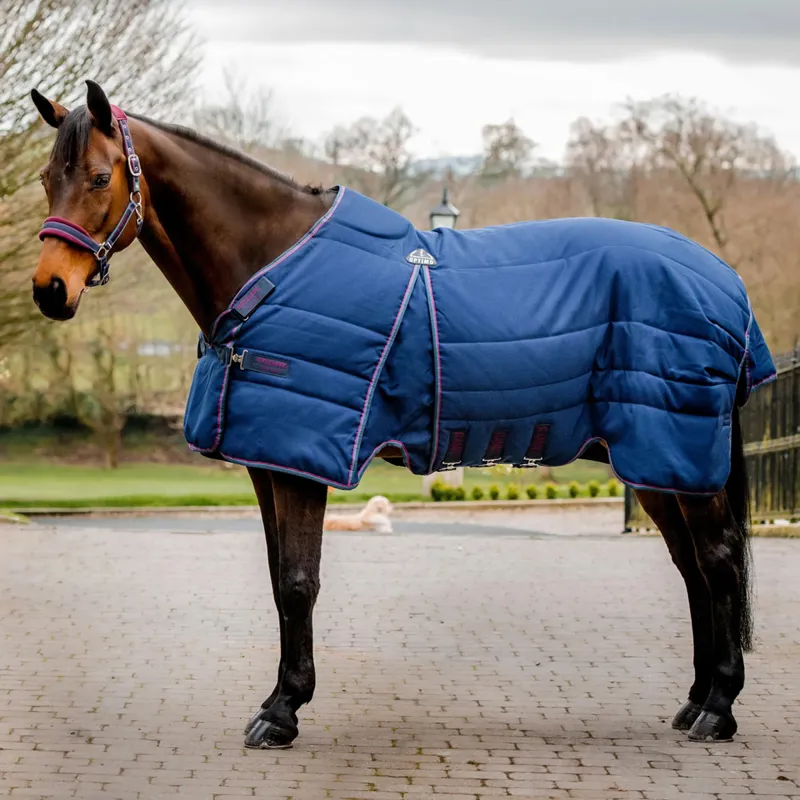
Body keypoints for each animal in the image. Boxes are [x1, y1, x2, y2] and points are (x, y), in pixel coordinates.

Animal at [29, 80, 773, 748]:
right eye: (44, 178)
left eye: (99, 177)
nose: (48, 290)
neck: (272, 268)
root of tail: (727, 285)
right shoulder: (267, 465)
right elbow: (277, 580)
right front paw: (277, 699)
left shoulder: (302, 464)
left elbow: (298, 583)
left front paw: (283, 712)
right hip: (659, 465)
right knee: (692, 567)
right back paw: (694, 701)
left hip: (675, 454)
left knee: (719, 560)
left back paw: (719, 711)